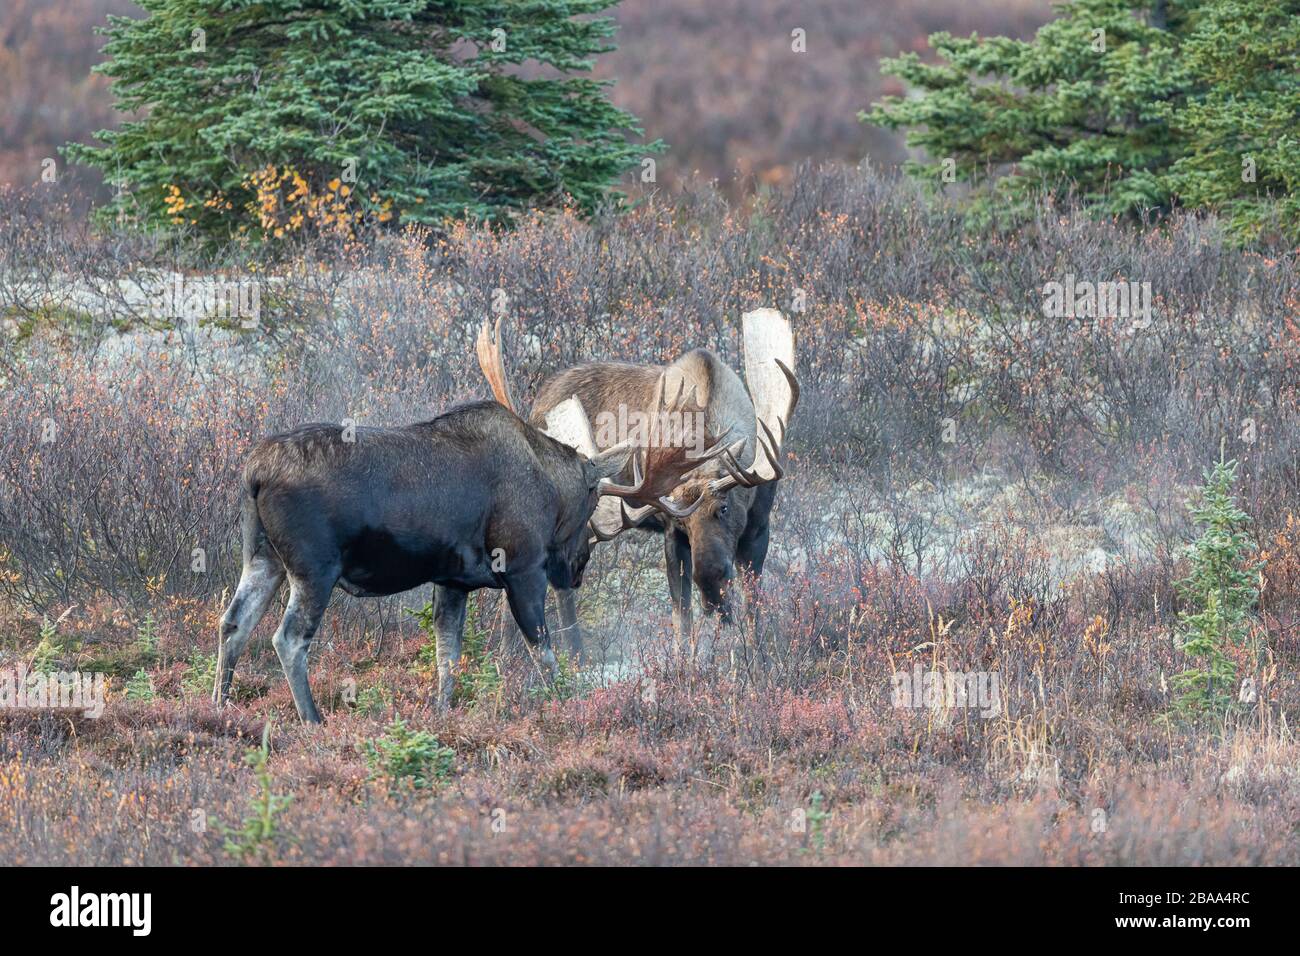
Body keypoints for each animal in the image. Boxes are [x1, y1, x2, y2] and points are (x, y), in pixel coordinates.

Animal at [212, 332, 728, 722]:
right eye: (590, 505)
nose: (575, 570)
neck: (551, 482)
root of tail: (254, 473)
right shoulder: (521, 568)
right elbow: (544, 653)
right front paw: (561, 701)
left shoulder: (452, 580)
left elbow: (448, 657)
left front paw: (442, 712)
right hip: (313, 567)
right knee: (287, 638)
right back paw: (313, 718)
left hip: (262, 557)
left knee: (232, 623)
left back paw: (220, 704)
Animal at [476, 308, 798, 653]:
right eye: (682, 522)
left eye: (723, 508)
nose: (710, 583)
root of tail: (532, 408)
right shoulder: (671, 535)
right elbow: (682, 618)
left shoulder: (759, 527)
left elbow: (754, 614)